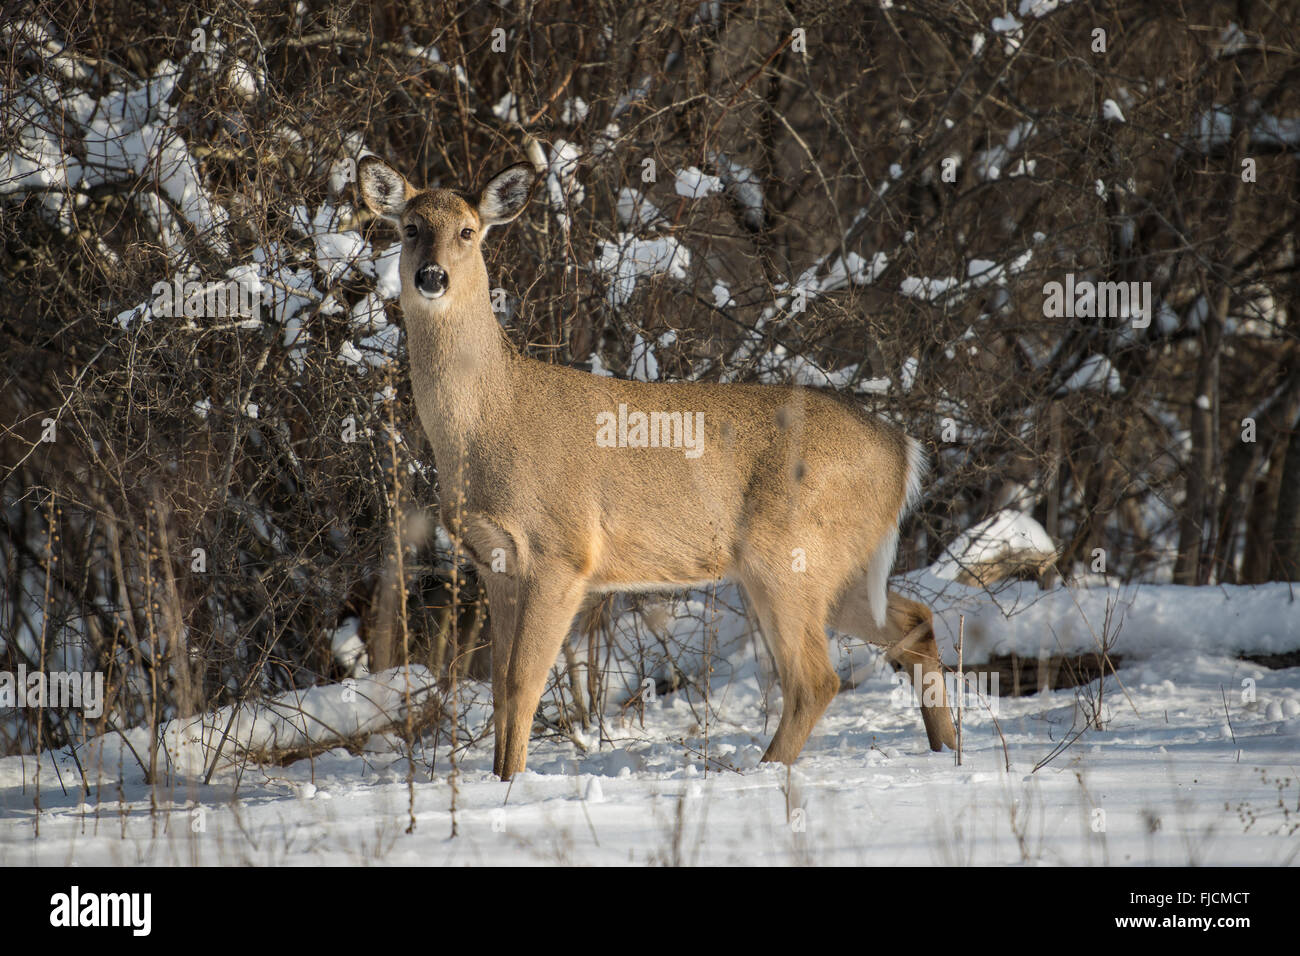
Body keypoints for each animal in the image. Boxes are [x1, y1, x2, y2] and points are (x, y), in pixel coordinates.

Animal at [357, 154, 957, 780]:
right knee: (915, 622)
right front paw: (500, 775)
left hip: (789, 554)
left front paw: (510, 781)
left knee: (817, 679)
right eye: (410, 228)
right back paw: (946, 750)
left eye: (468, 232)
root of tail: (903, 449)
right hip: (836, 564)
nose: (431, 277)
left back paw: (762, 769)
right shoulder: (493, 561)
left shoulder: (561, 552)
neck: (488, 422)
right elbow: (499, 686)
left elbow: (523, 684)